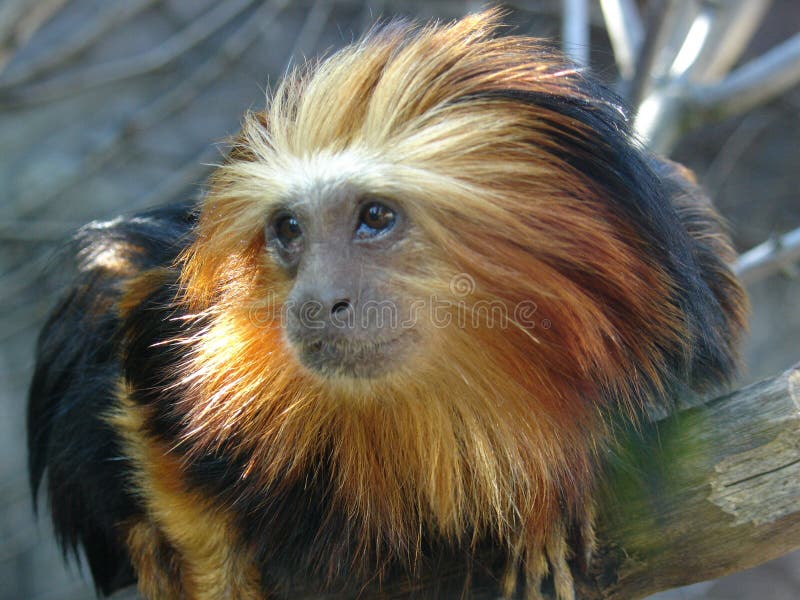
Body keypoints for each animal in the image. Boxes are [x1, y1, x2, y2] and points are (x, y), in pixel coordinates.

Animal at [28, 10, 747, 600]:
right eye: (289, 229)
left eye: (375, 217)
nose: (317, 303)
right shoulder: (173, 324)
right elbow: (139, 397)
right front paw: (208, 568)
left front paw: (543, 510)